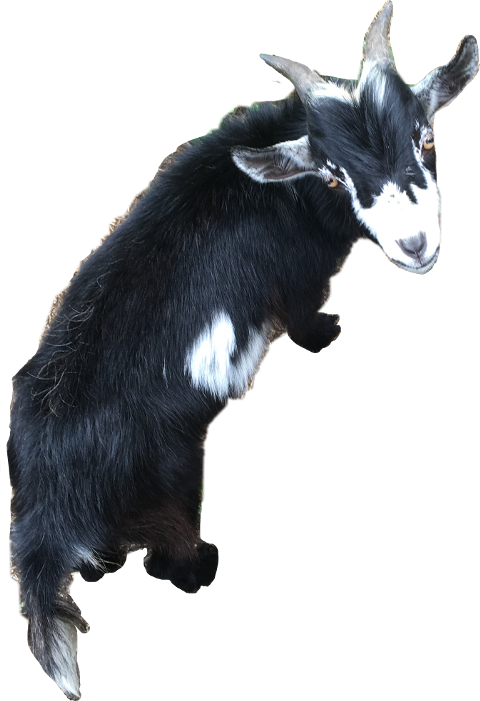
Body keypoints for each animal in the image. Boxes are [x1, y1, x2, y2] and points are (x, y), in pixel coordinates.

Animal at [7, 2, 478, 698]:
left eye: (424, 138)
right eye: (333, 175)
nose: (416, 245)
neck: (279, 189)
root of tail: (45, 497)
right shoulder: (299, 276)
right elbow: (304, 311)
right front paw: (325, 335)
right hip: (168, 473)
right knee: (167, 546)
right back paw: (200, 566)